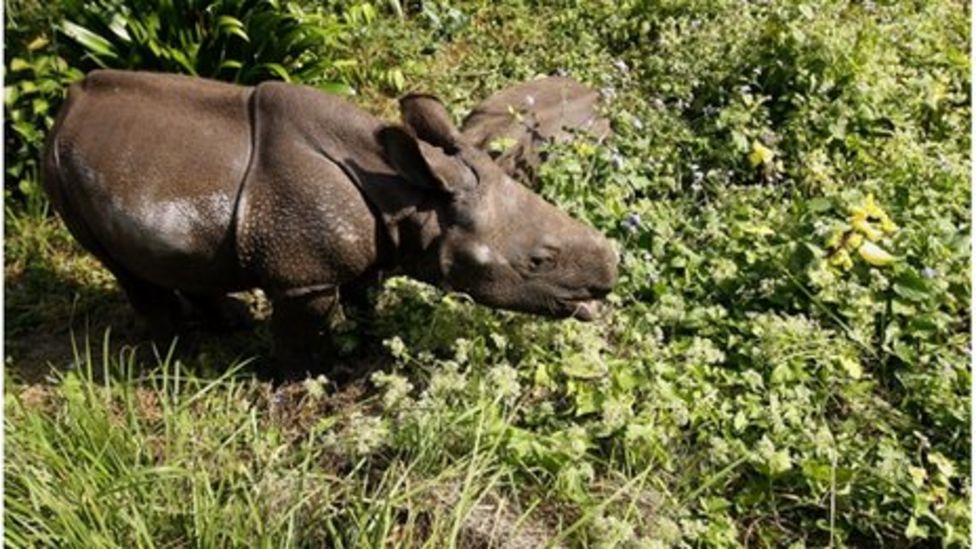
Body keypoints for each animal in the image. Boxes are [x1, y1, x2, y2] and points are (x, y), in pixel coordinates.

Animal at [43, 70, 618, 377]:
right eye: (539, 261)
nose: (611, 273)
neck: (414, 199)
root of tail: (68, 103)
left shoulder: (372, 242)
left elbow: (365, 299)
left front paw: (367, 348)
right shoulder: (303, 278)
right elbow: (301, 333)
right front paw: (301, 378)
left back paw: (228, 323)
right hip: (61, 169)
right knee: (124, 269)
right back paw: (177, 358)